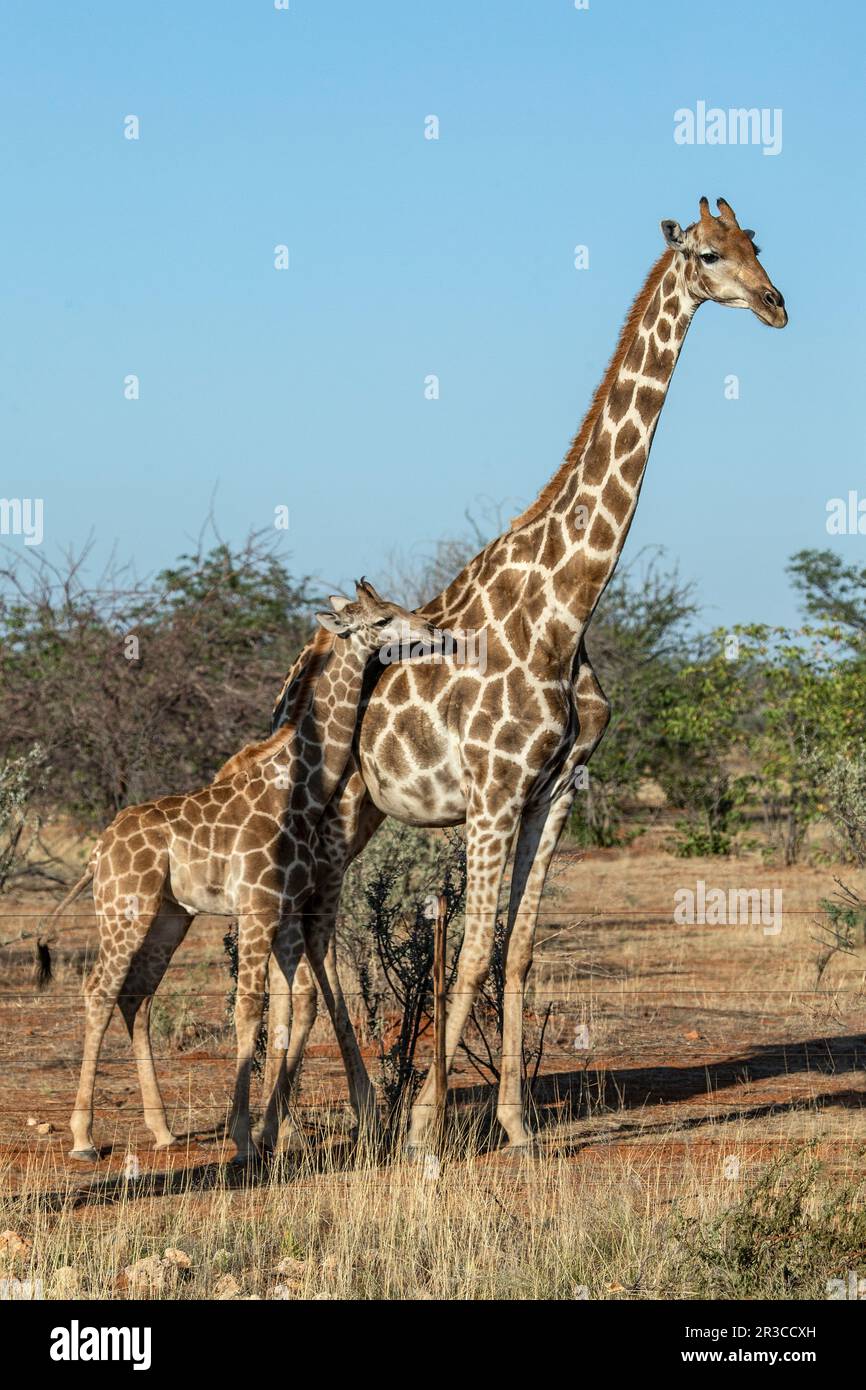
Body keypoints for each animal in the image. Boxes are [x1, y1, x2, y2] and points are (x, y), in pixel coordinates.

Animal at [53, 581, 438, 1161]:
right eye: (382, 619)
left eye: (399, 608)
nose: (432, 629)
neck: (298, 792)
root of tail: (100, 848)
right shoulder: (256, 909)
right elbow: (249, 1010)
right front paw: (243, 1138)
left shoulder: (285, 913)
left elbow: (289, 1008)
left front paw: (269, 1131)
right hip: (125, 907)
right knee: (99, 988)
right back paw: (82, 1138)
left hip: (170, 916)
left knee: (137, 994)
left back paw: (163, 1131)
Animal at [264, 197, 788, 1155]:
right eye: (707, 253)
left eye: (755, 244)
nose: (775, 304)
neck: (567, 606)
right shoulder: (495, 793)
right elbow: (470, 950)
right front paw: (430, 1133)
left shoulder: (557, 790)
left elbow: (517, 948)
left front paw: (516, 1124)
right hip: (321, 805)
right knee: (297, 930)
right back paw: (317, 1120)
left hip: (362, 811)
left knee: (311, 933)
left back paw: (334, 1114)